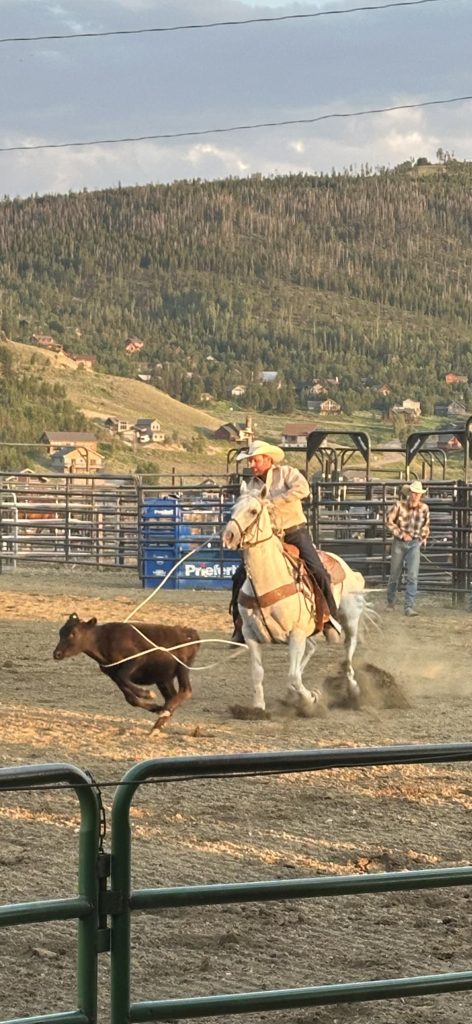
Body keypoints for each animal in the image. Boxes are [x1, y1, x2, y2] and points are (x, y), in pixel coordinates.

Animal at [53, 613, 200, 732]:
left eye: (73, 633)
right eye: (61, 632)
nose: (57, 654)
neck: (104, 640)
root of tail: (191, 633)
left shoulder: (136, 659)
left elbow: (123, 678)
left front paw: (147, 694)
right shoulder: (112, 674)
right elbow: (129, 697)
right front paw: (155, 707)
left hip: (182, 667)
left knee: (186, 690)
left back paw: (164, 712)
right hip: (164, 678)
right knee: (172, 695)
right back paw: (160, 722)